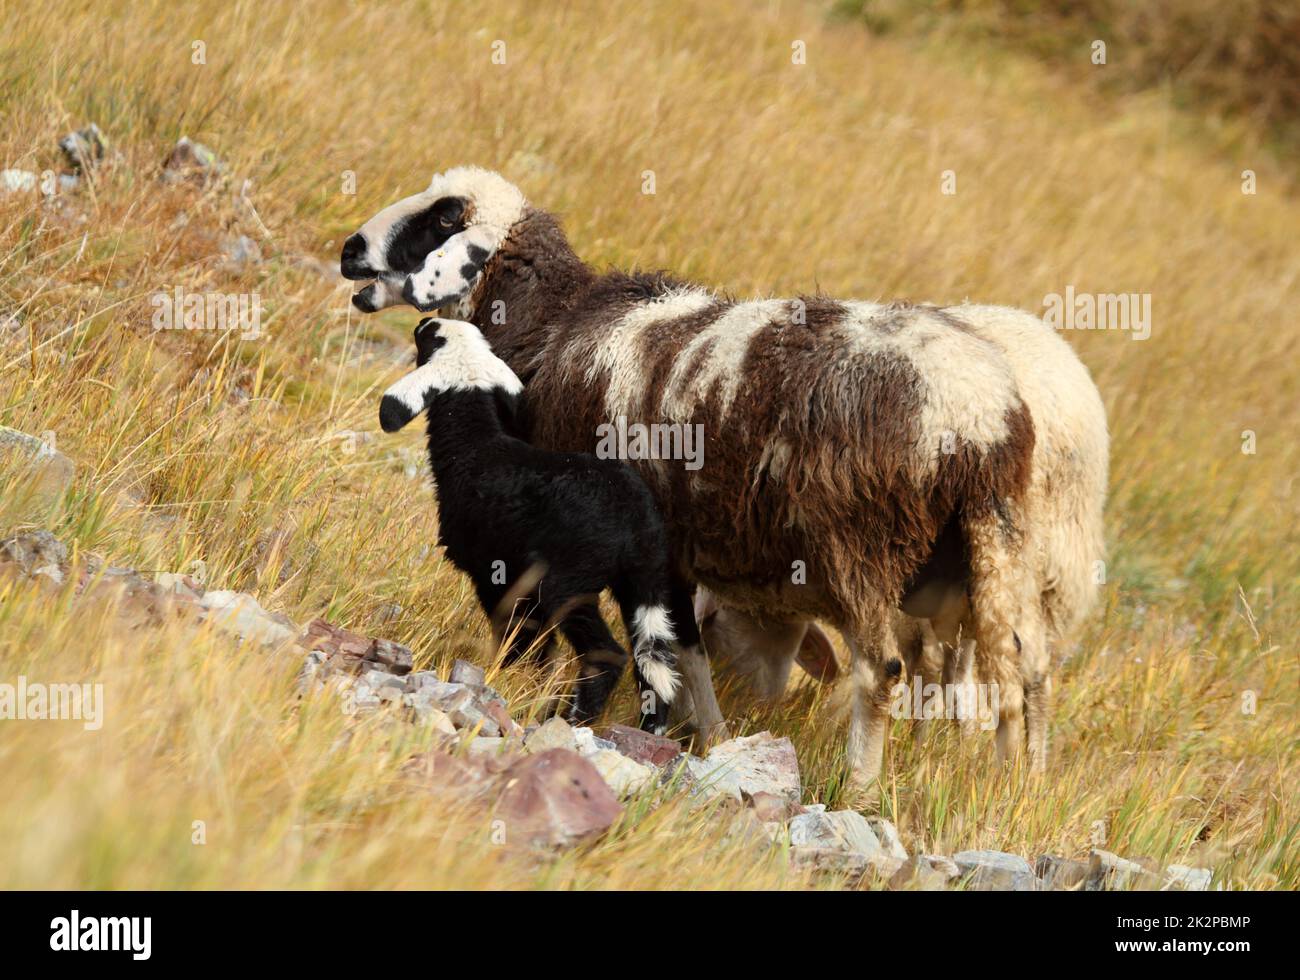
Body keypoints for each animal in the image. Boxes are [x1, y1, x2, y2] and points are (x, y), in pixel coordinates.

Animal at [377, 315, 681, 732]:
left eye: (429, 339)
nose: (426, 319)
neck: (476, 446)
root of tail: (634, 516)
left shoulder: (492, 570)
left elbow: (515, 634)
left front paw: (503, 675)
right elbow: (536, 644)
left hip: (568, 580)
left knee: (607, 654)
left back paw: (573, 717)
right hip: (645, 580)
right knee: (654, 660)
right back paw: (650, 726)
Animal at [691, 307, 1108, 767]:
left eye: (715, 627)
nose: (749, 707)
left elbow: (929, 667)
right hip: (1034, 564)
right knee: (1029, 668)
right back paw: (1028, 768)